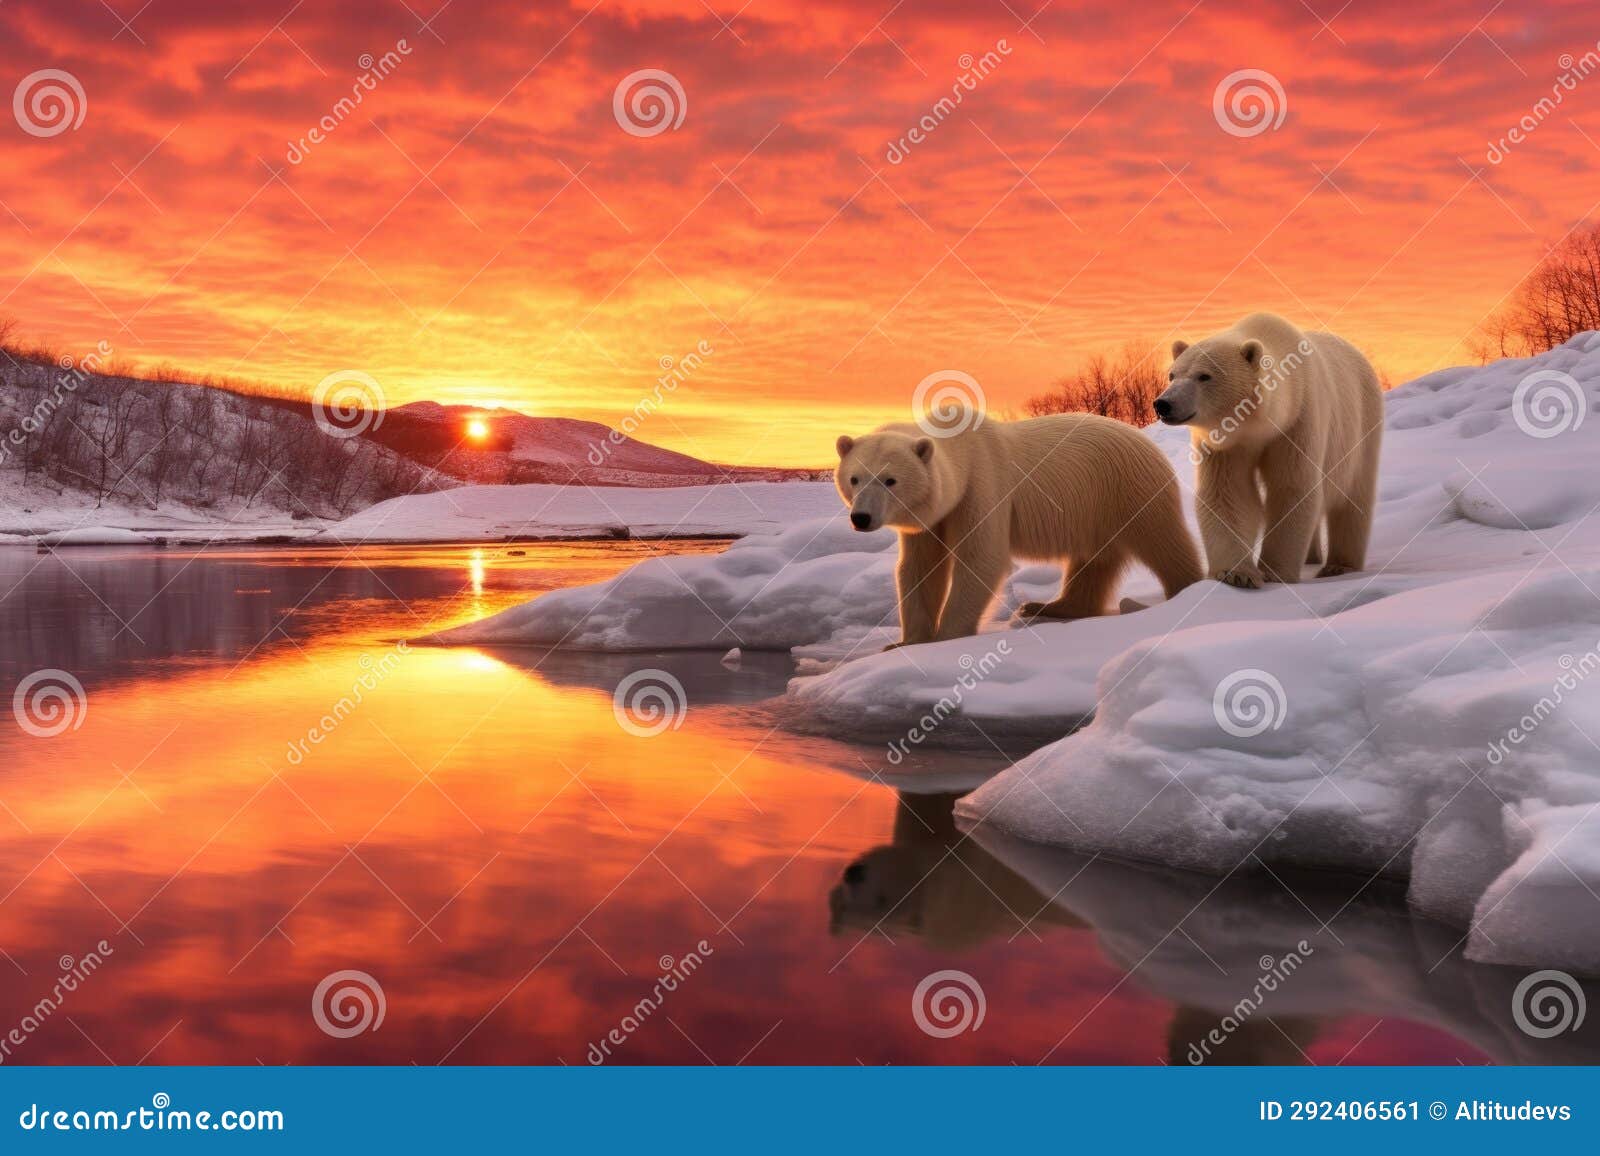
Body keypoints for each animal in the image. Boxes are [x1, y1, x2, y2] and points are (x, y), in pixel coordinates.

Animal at [834, 412, 1202, 646]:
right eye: (855, 478)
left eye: (890, 480)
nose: (861, 518)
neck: (961, 447)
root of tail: (1144, 440)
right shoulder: (933, 516)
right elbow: (919, 568)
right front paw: (905, 643)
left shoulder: (982, 486)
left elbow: (981, 558)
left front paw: (947, 637)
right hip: (1098, 509)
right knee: (1093, 560)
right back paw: (1049, 606)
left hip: (1128, 487)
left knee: (1162, 540)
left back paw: (1185, 592)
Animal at [1154, 312, 1383, 588]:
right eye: (1172, 375)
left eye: (1204, 376)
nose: (1163, 404)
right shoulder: (1227, 443)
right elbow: (1228, 493)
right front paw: (1237, 573)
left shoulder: (1297, 421)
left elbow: (1291, 487)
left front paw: (1275, 573)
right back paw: (1312, 557)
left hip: (1362, 425)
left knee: (1353, 497)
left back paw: (1338, 566)